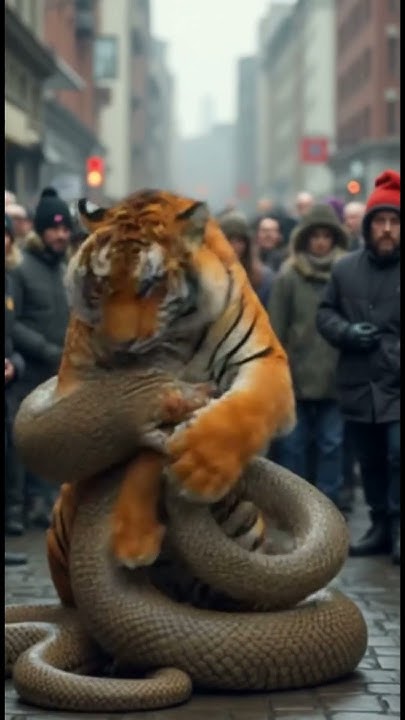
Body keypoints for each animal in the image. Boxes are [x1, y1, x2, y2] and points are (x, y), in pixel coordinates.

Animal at [47, 189, 295, 576]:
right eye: (102, 284)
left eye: (149, 285)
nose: (118, 345)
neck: (179, 334)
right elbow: (138, 450)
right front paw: (134, 541)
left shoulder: (263, 360)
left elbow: (245, 410)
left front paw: (199, 468)